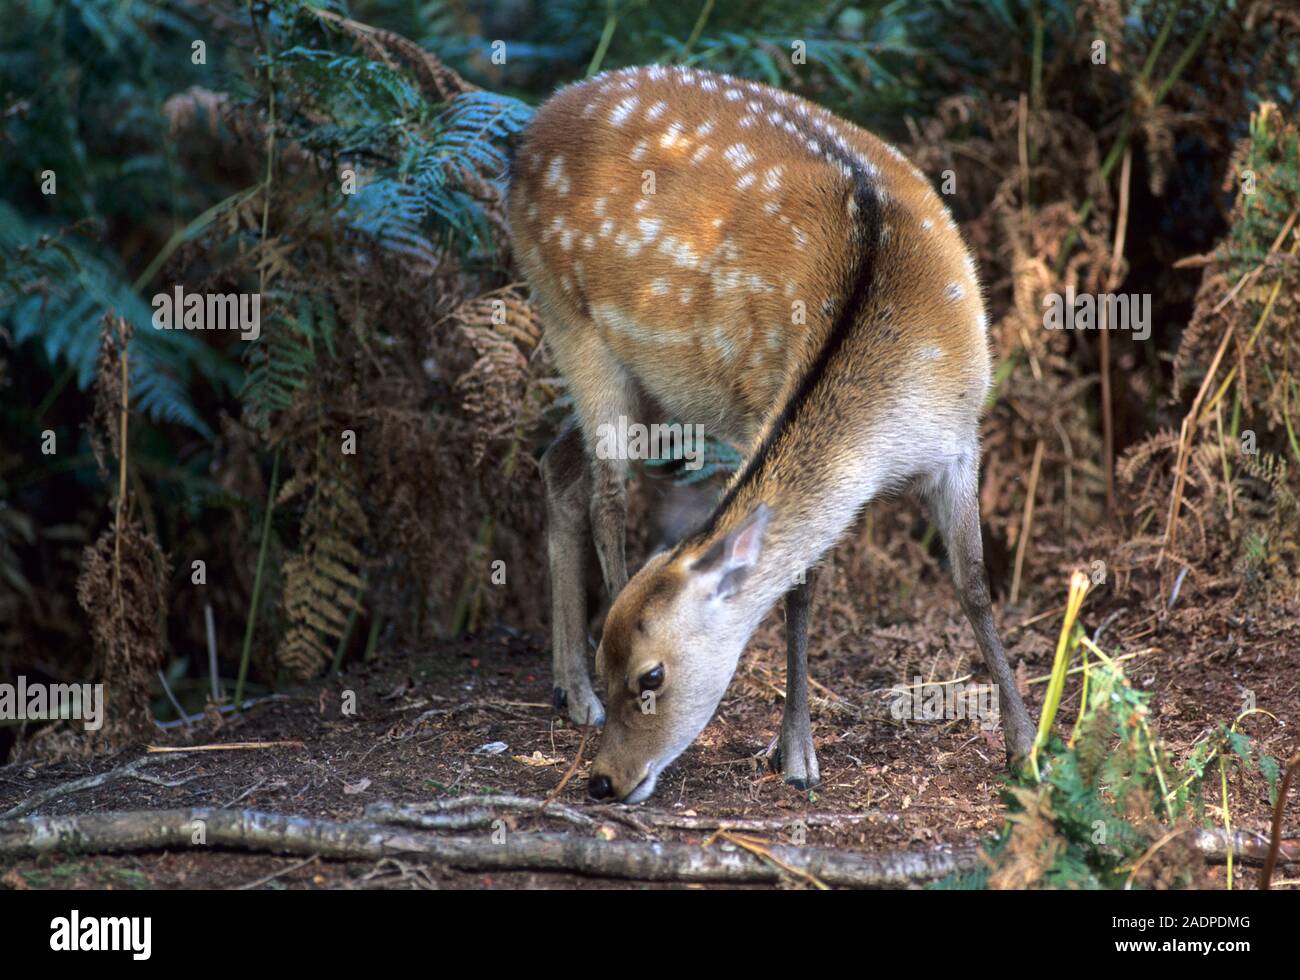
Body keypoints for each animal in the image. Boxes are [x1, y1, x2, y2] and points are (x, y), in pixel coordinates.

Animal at [506, 64, 1035, 804]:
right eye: (627, 667)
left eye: (650, 676)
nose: (603, 782)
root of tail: (532, 126)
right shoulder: (760, 398)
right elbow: (802, 587)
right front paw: (797, 755)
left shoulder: (960, 444)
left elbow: (976, 585)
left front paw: (1027, 746)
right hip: (570, 317)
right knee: (607, 492)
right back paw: (580, 683)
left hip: (656, 381)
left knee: (559, 462)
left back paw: (568, 688)